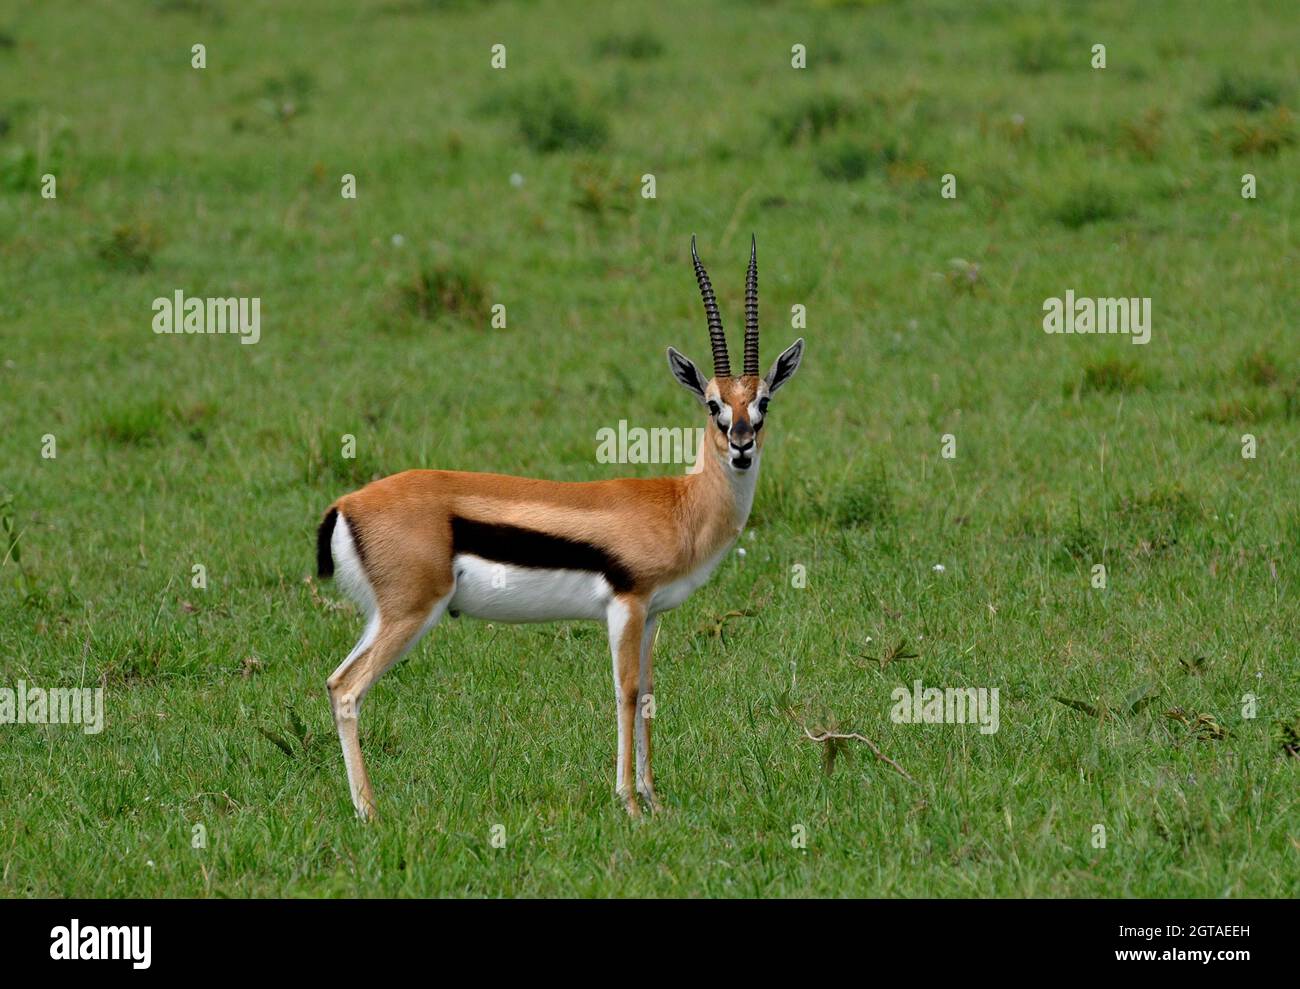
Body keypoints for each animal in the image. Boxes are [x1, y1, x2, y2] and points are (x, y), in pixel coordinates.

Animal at [315, 236, 804, 819]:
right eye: (713, 404)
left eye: (763, 401)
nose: (741, 446)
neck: (680, 505)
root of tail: (346, 504)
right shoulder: (626, 607)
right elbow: (625, 692)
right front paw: (629, 805)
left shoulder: (653, 615)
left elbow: (649, 693)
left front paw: (654, 800)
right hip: (411, 613)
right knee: (348, 689)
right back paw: (370, 813)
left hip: (382, 616)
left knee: (333, 681)